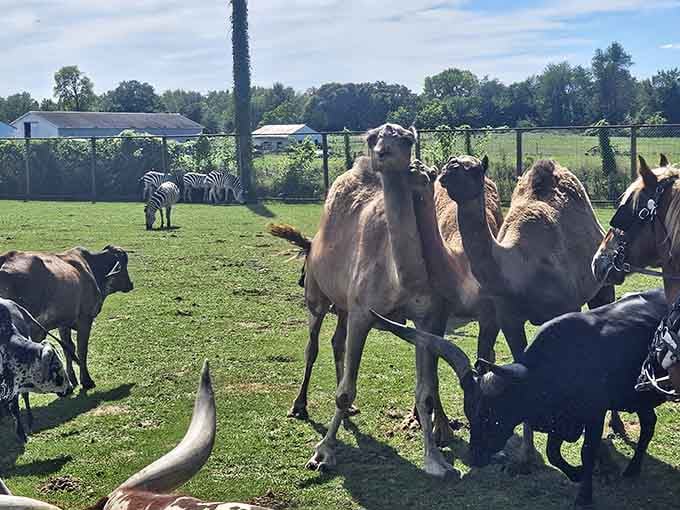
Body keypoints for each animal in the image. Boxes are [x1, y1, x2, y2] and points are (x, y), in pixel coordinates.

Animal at [269, 123, 503, 478]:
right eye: (372, 137)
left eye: (407, 139)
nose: (382, 153)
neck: (399, 275)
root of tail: (312, 242)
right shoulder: (364, 313)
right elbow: (344, 391)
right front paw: (323, 453)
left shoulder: (426, 317)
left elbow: (426, 391)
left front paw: (436, 461)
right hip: (316, 295)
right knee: (313, 345)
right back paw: (299, 406)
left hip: (343, 305)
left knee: (337, 341)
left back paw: (350, 410)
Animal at [406, 156, 616, 465]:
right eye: (450, 163)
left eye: (473, 169)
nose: (449, 166)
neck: (519, 267)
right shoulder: (509, 319)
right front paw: (525, 456)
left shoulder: (566, 309)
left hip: (603, 280)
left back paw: (615, 426)